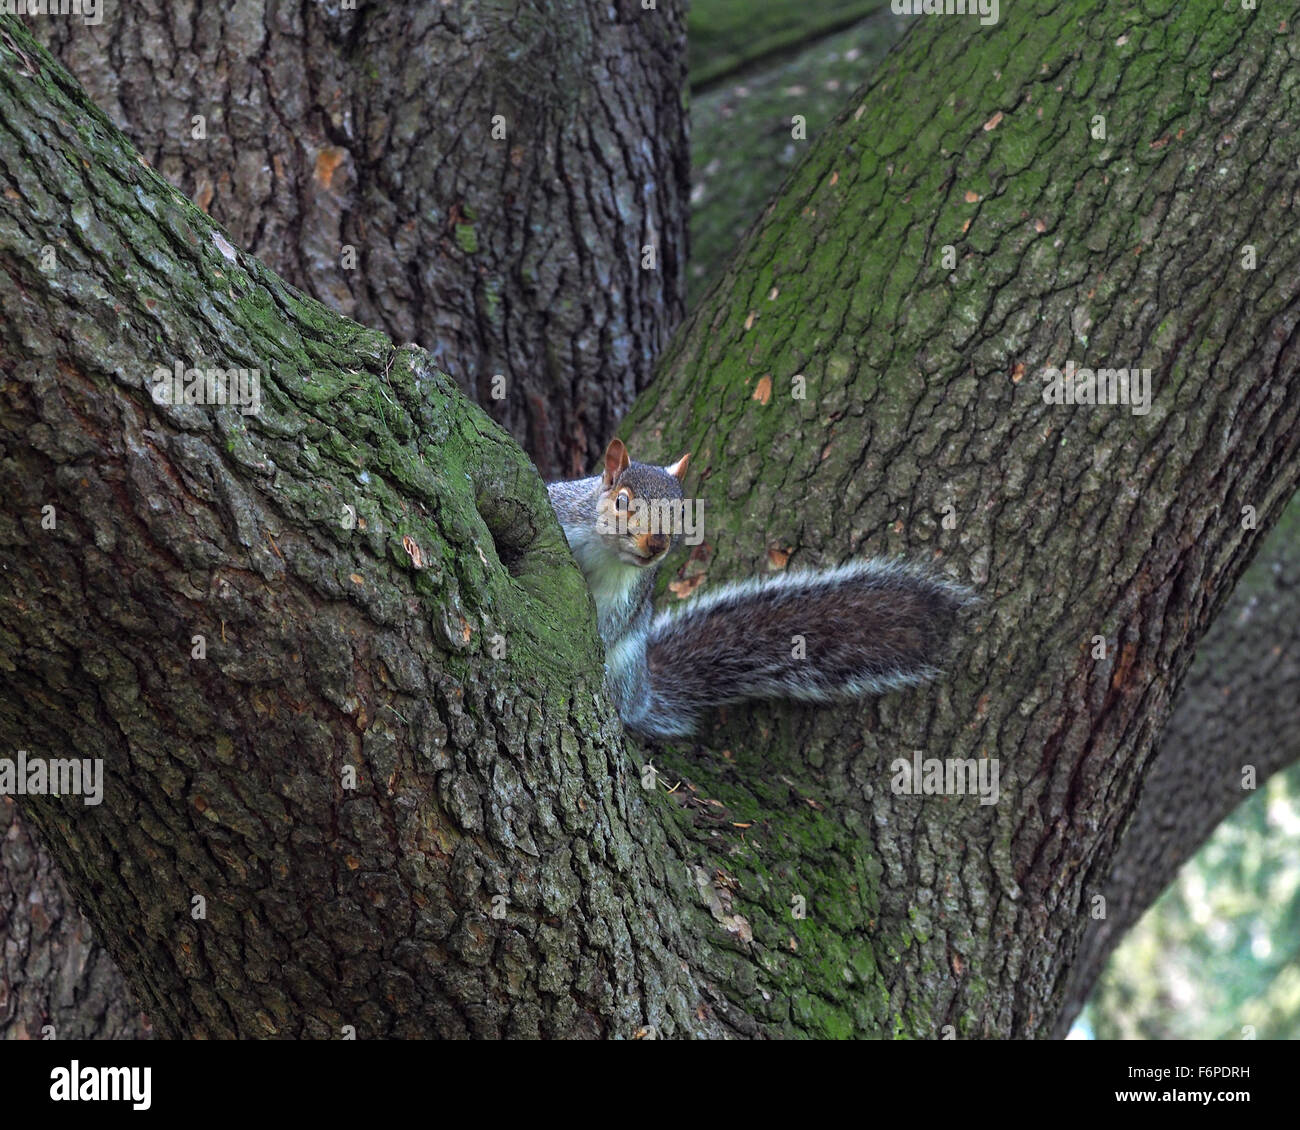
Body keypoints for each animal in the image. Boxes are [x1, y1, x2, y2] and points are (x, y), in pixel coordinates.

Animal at [546, 438, 973, 739]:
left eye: (682, 510)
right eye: (621, 501)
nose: (656, 545)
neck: (606, 553)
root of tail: (644, 692)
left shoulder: (630, 592)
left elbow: (613, 624)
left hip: (626, 669)